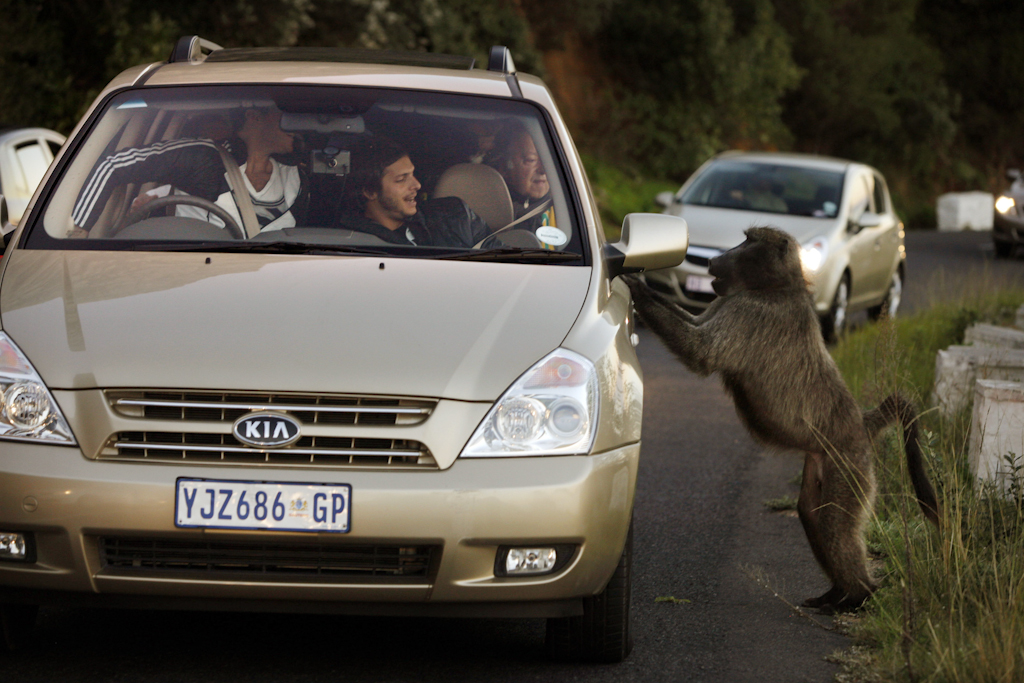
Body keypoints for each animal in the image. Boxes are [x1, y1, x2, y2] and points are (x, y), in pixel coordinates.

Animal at [624, 226, 940, 611]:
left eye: (747, 241)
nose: (714, 260)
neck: (779, 287)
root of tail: (862, 421)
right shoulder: (725, 303)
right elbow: (695, 326)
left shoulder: (749, 313)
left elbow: (701, 351)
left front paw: (633, 284)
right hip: (822, 460)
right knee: (811, 513)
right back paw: (834, 592)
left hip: (849, 463)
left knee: (834, 524)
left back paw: (858, 595)